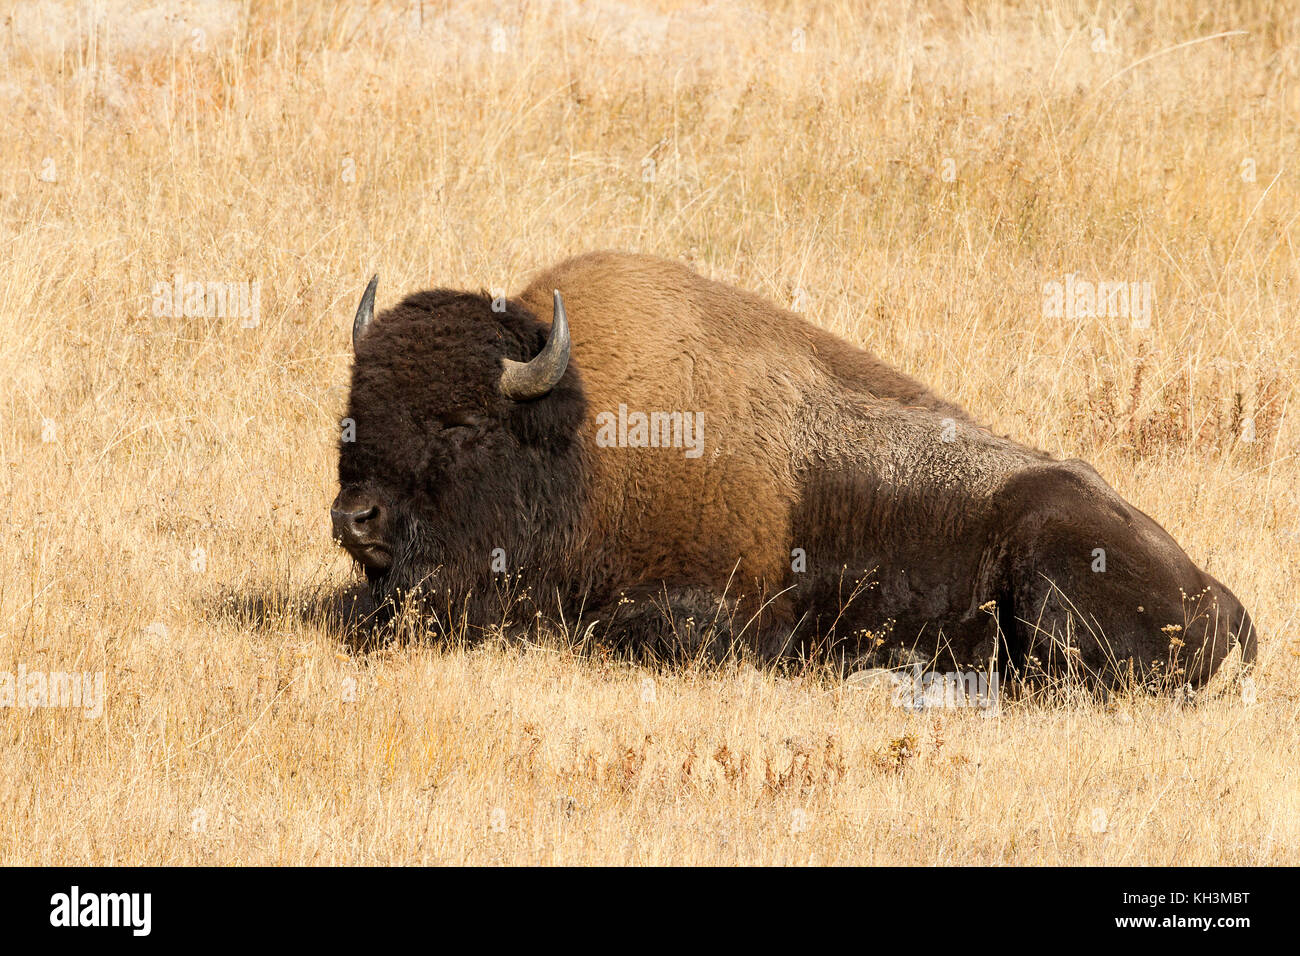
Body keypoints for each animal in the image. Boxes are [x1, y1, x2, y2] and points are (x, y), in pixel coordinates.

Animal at [332, 252, 1254, 691]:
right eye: (353, 410)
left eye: (460, 426)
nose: (354, 518)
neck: (582, 441)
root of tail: (1221, 596)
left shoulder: (714, 613)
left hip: (1048, 570)